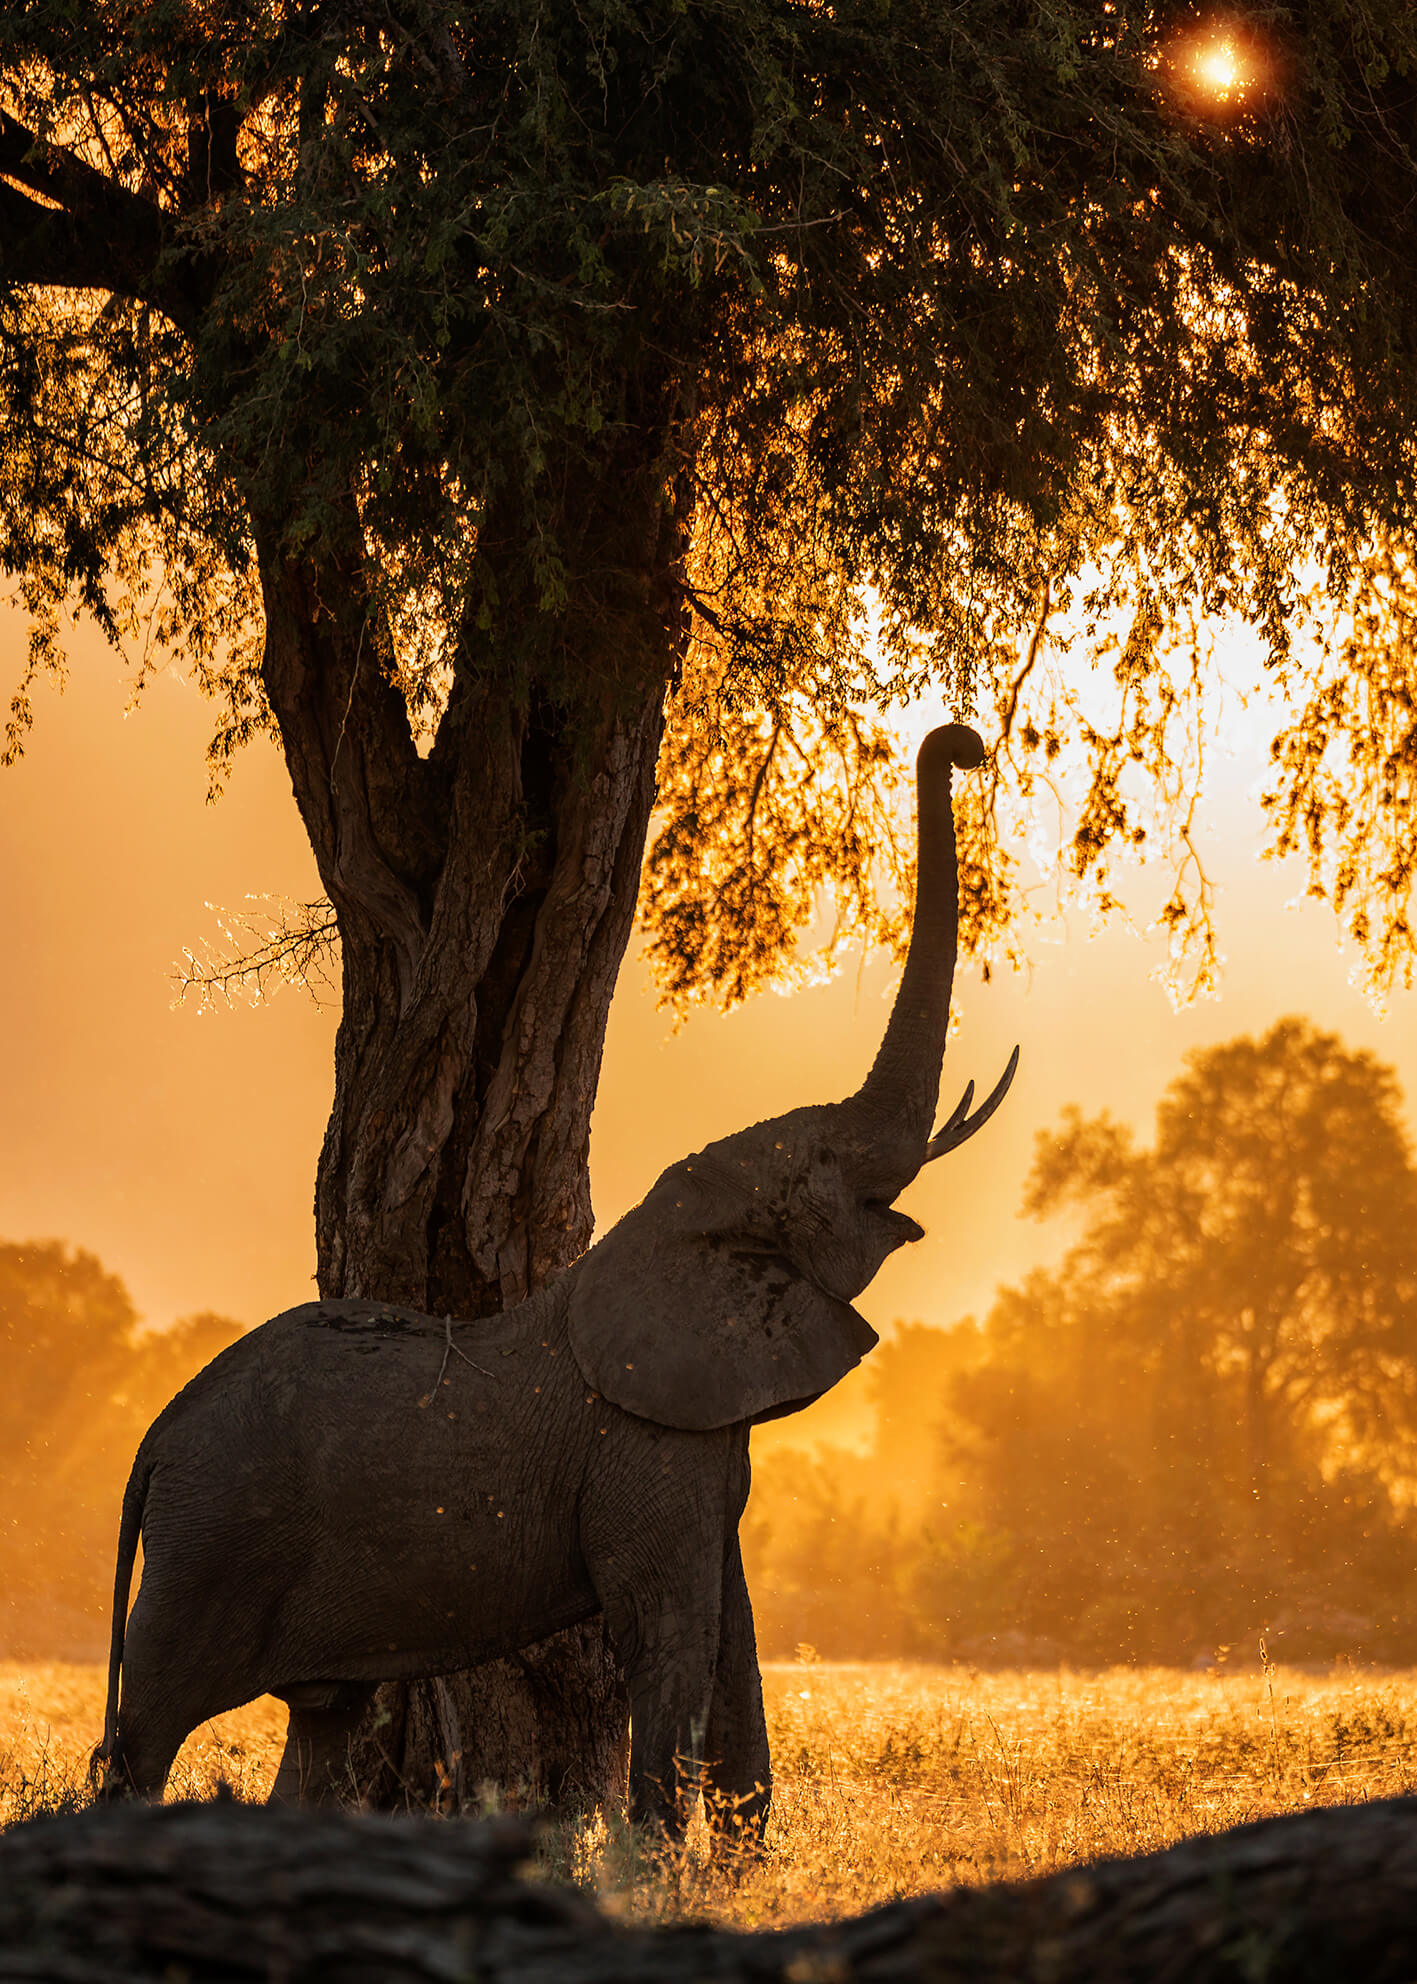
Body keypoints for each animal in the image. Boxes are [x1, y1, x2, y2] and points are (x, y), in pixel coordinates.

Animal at [93, 720, 1015, 1835]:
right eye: (820, 1169)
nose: (965, 744)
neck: (660, 1235)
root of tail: (152, 1442)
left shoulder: (695, 1432)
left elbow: (733, 1635)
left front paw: (737, 1857)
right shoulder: (641, 1440)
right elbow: (672, 1634)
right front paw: (658, 1858)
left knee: (324, 1727)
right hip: (211, 1538)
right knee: (149, 1723)